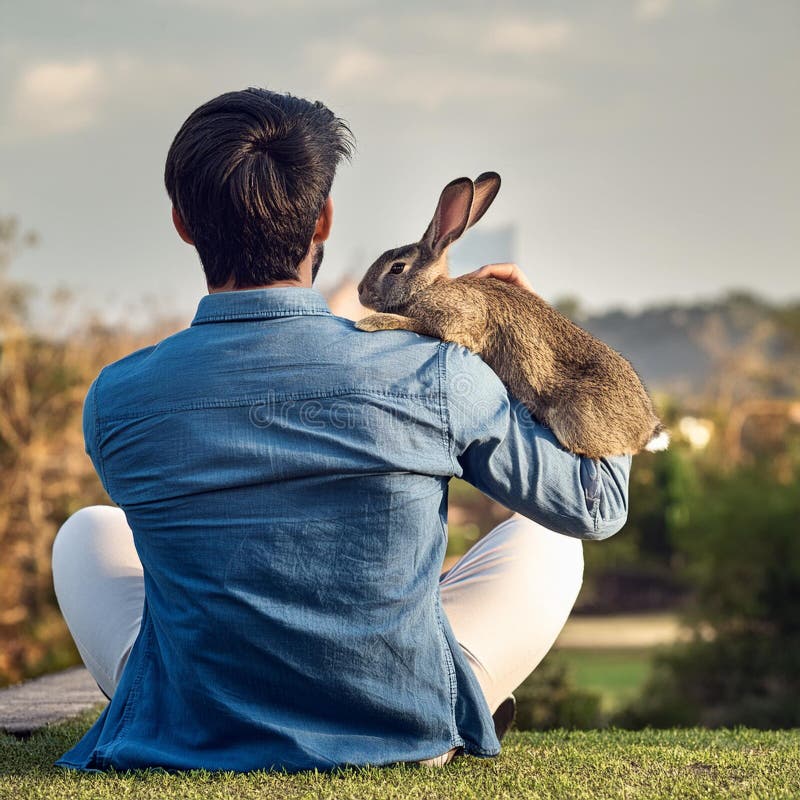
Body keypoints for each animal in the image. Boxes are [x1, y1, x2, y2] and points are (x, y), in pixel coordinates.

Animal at [355, 171, 669, 458]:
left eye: (397, 268)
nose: (360, 291)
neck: (429, 286)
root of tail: (647, 429)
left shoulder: (459, 319)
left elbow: (416, 323)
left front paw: (370, 322)